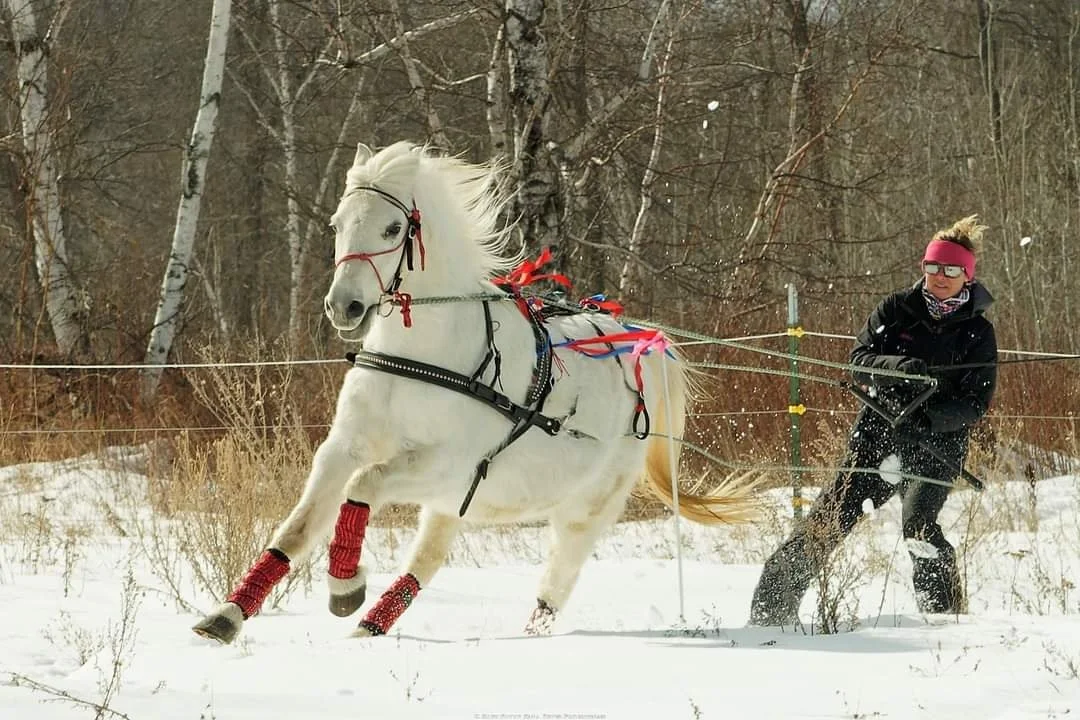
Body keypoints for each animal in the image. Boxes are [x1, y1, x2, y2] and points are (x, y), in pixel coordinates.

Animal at [192, 141, 761, 644]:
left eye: (393, 227)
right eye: (337, 223)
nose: (344, 307)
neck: (422, 356)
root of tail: (642, 345)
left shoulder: (447, 464)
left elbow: (365, 485)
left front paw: (343, 586)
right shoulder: (346, 446)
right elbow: (302, 524)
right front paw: (224, 618)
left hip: (584, 507)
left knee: (555, 584)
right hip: (451, 504)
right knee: (427, 561)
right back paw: (365, 632)